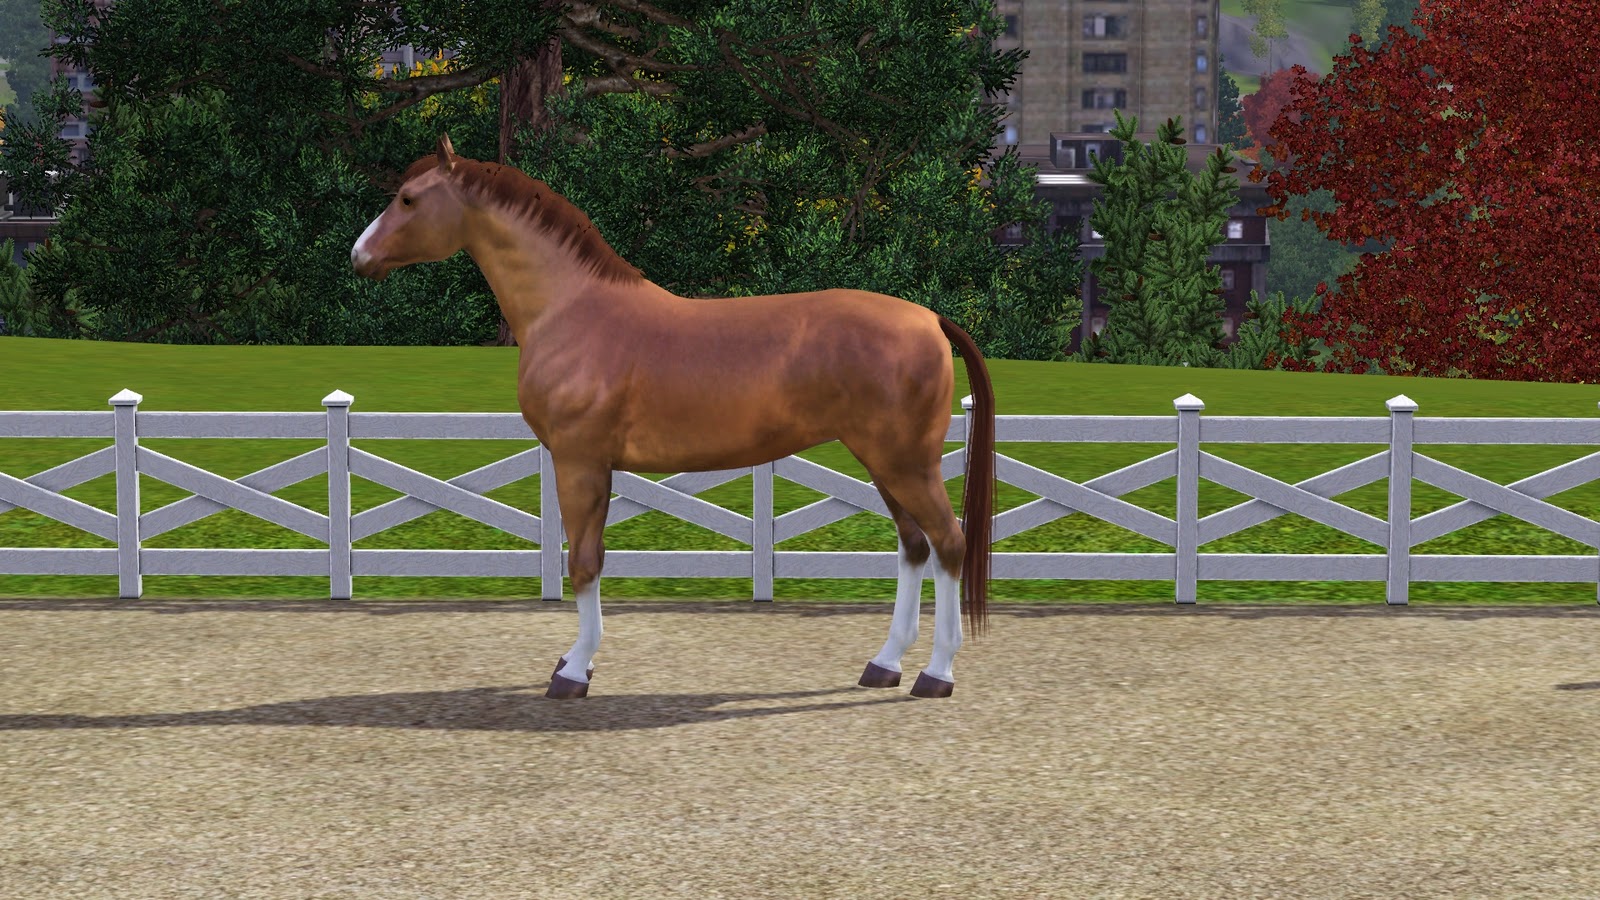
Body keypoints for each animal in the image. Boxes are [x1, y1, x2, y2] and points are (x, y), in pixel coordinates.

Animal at [351, 134, 996, 699]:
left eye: (407, 199)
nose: (358, 256)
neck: (572, 310)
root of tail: (930, 318)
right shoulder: (591, 466)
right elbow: (588, 558)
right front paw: (574, 660)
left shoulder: (580, 462)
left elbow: (583, 562)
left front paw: (575, 671)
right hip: (884, 464)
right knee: (914, 547)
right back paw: (884, 664)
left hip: (905, 462)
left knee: (949, 543)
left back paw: (935, 675)